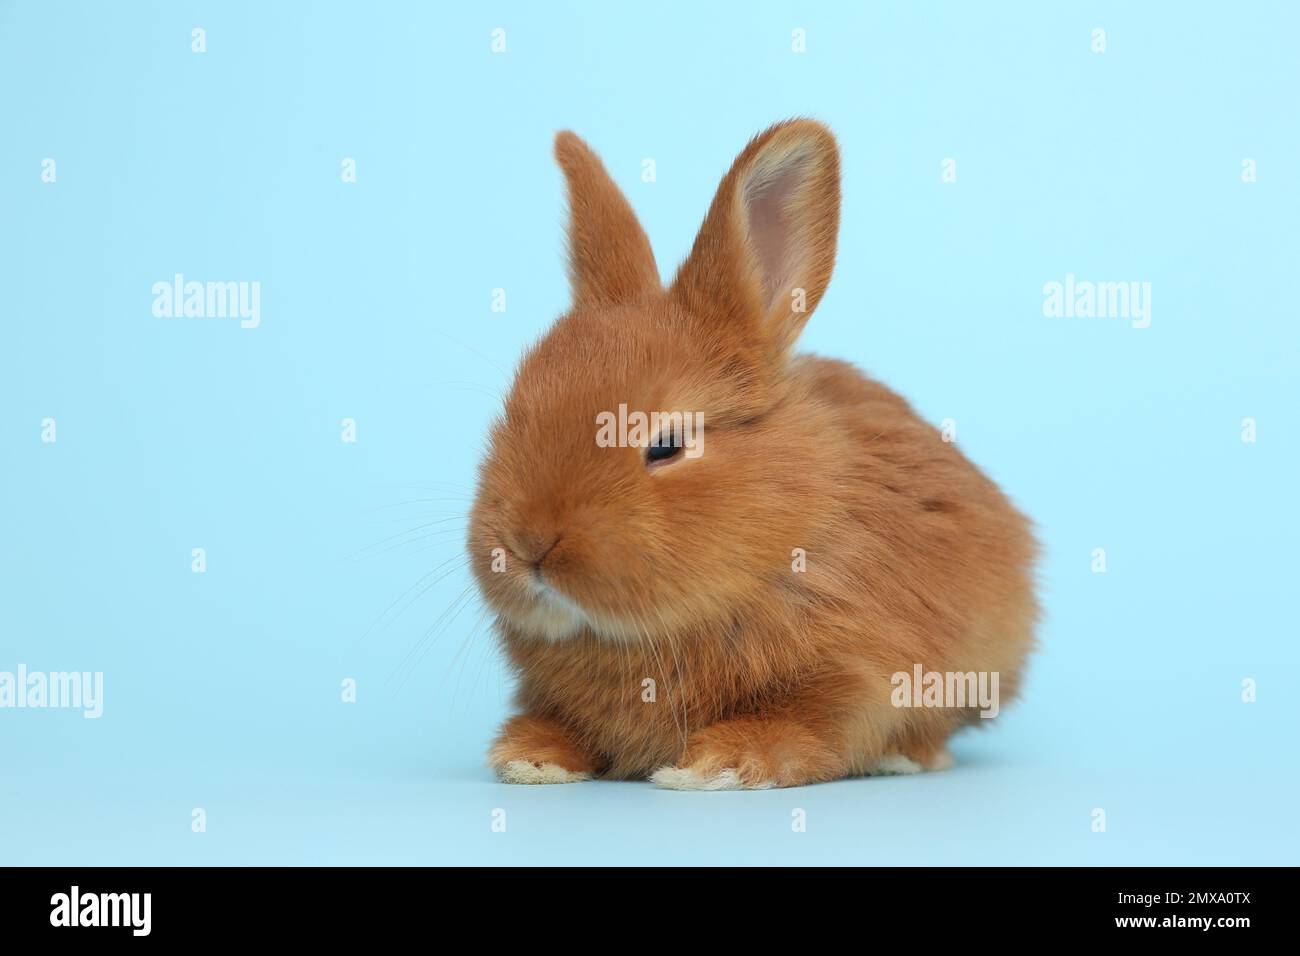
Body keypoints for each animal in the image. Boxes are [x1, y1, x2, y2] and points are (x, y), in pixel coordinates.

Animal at [468, 119, 1038, 790]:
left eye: (665, 444)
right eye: (514, 411)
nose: (528, 544)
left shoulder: (858, 672)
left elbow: (808, 724)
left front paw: (719, 764)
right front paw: (531, 755)